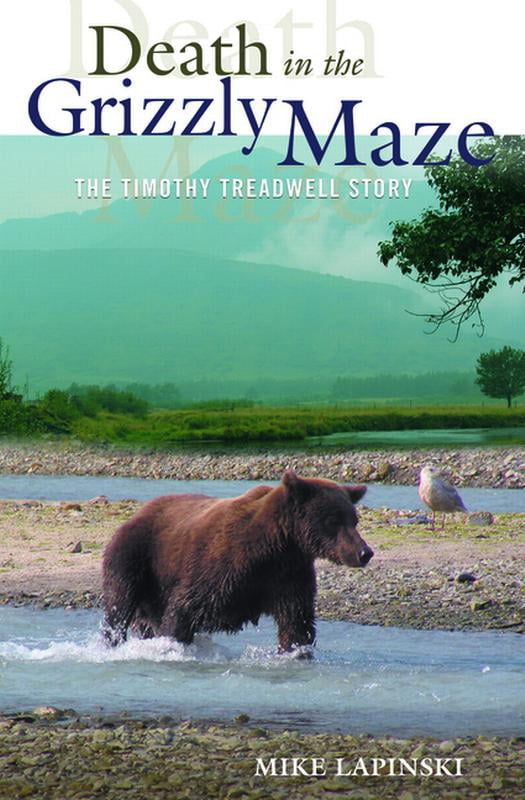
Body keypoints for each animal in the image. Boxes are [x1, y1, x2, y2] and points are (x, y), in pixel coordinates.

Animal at [101, 470, 373, 653]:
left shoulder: (289, 576)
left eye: (354, 519)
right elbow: (185, 607)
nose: (365, 552)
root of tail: (138, 512)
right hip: (136, 557)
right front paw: (172, 644)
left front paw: (297, 651)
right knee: (119, 606)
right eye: (333, 520)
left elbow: (296, 623)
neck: (278, 544)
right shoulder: (223, 567)